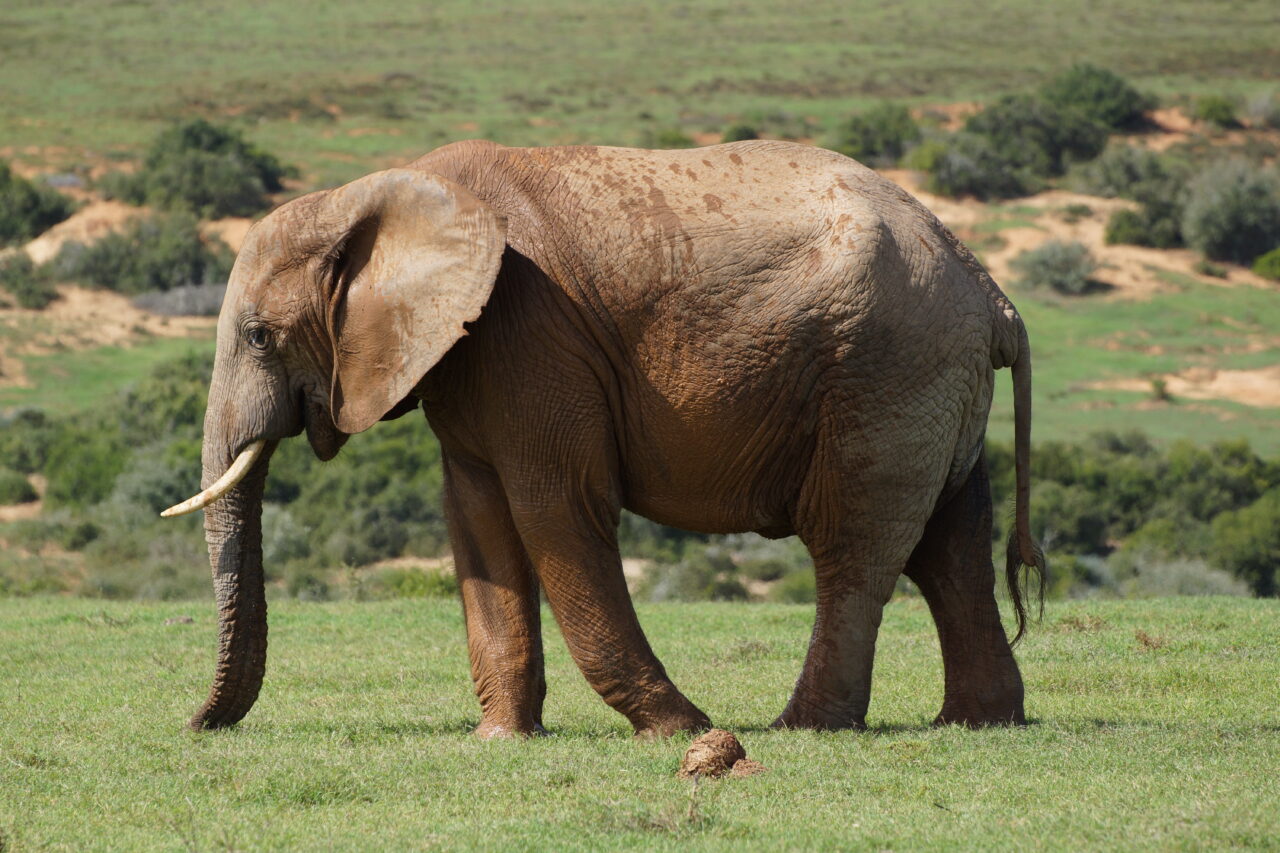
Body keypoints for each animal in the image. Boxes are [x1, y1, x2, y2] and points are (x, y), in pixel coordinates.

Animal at [163, 138, 1044, 738]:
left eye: (258, 337)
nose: (194, 725)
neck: (374, 192)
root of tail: (992, 292)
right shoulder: (474, 355)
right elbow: (478, 520)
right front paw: (502, 739)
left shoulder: (529, 332)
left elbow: (556, 510)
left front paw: (683, 730)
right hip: (928, 382)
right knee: (951, 541)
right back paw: (978, 721)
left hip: (885, 368)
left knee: (853, 545)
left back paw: (803, 727)